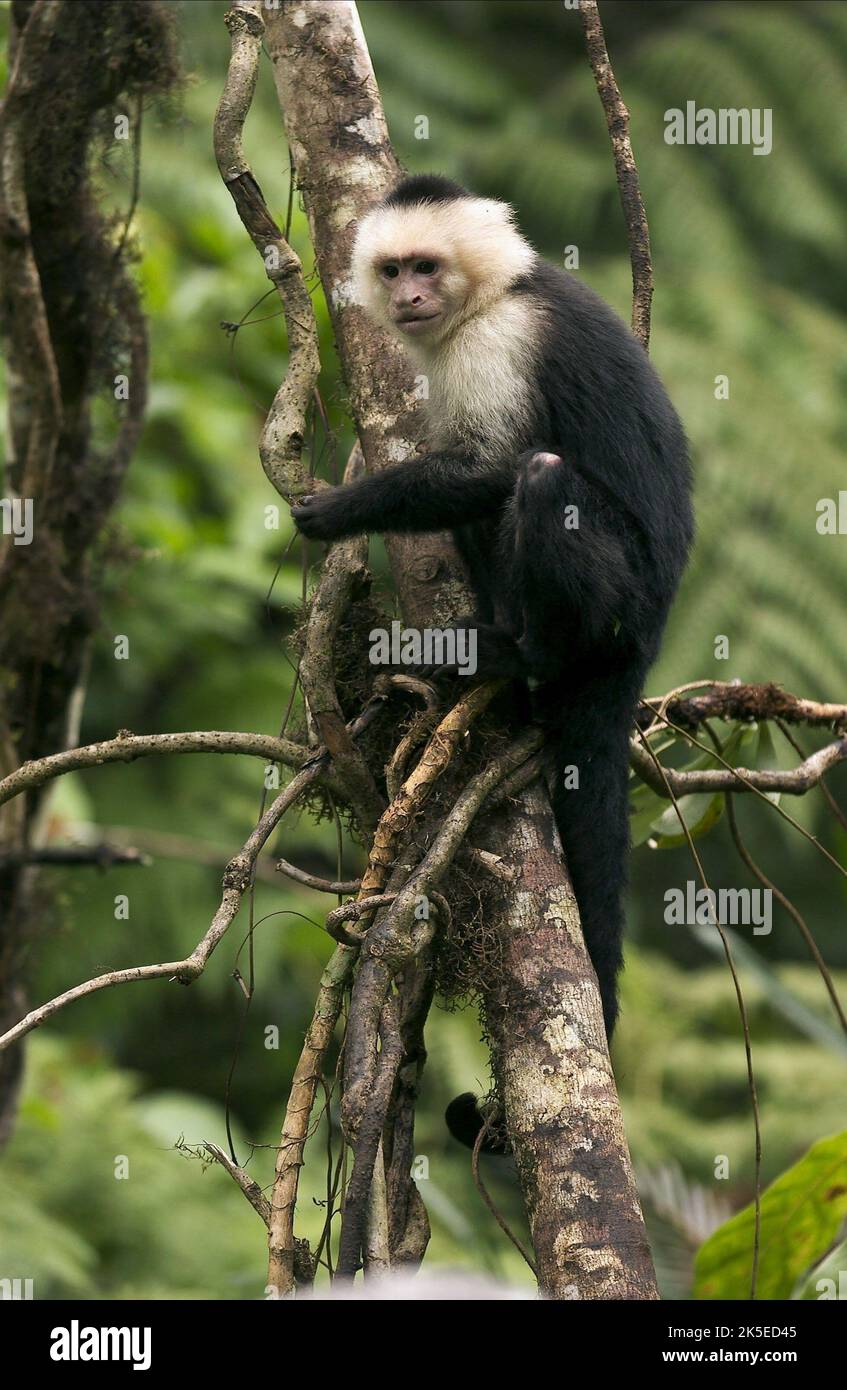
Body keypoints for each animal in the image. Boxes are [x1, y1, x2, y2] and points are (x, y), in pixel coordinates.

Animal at [292, 173, 693, 1148]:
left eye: (426, 267)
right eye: (392, 269)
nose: (407, 299)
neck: (493, 291)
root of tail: (648, 637)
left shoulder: (497, 340)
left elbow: (487, 465)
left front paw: (338, 511)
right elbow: (466, 477)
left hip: (622, 603)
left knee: (538, 479)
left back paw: (521, 650)